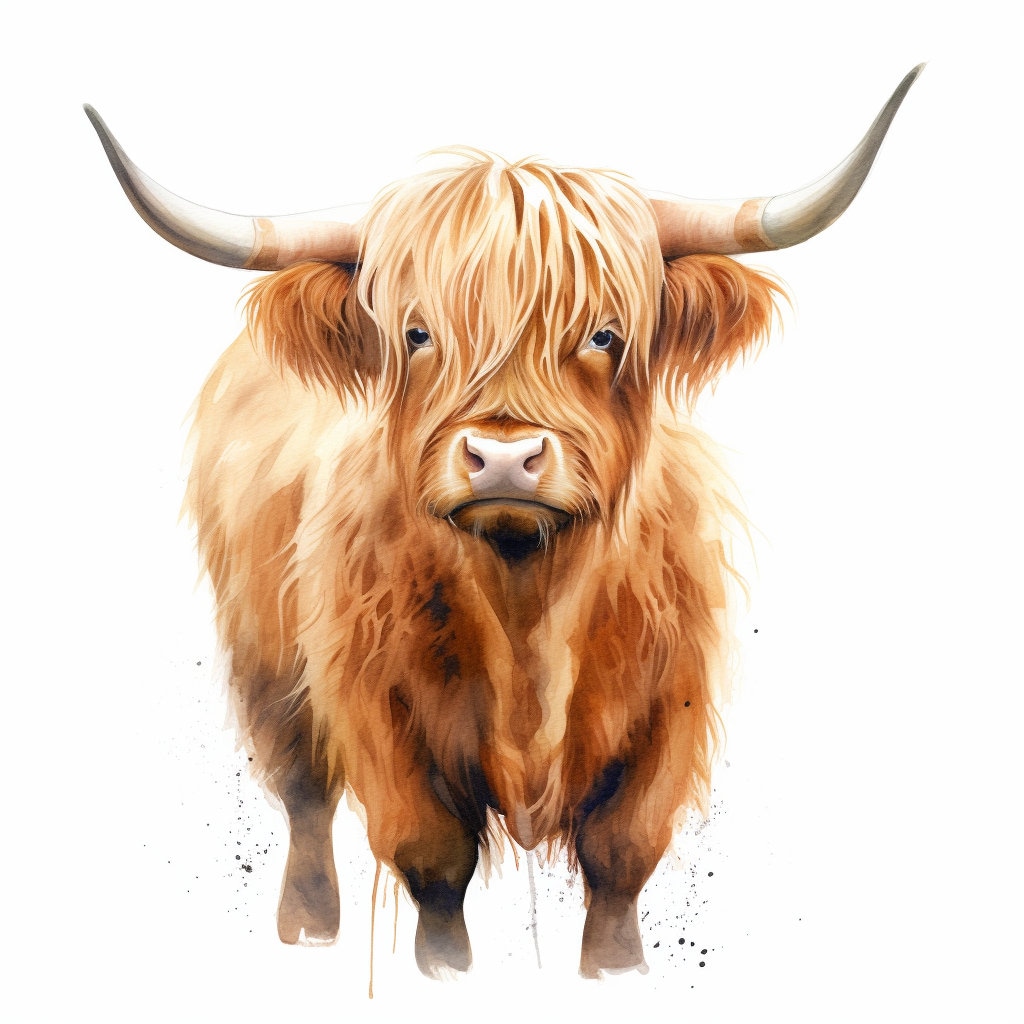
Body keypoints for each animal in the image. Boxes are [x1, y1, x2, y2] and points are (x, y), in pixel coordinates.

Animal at [86, 66, 921, 979]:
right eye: (417, 333)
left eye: (605, 334)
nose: (504, 457)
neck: (527, 609)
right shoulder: (378, 706)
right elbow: (432, 861)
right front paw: (445, 973)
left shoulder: (669, 706)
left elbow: (623, 855)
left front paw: (617, 973)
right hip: (263, 650)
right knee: (303, 791)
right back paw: (306, 929)